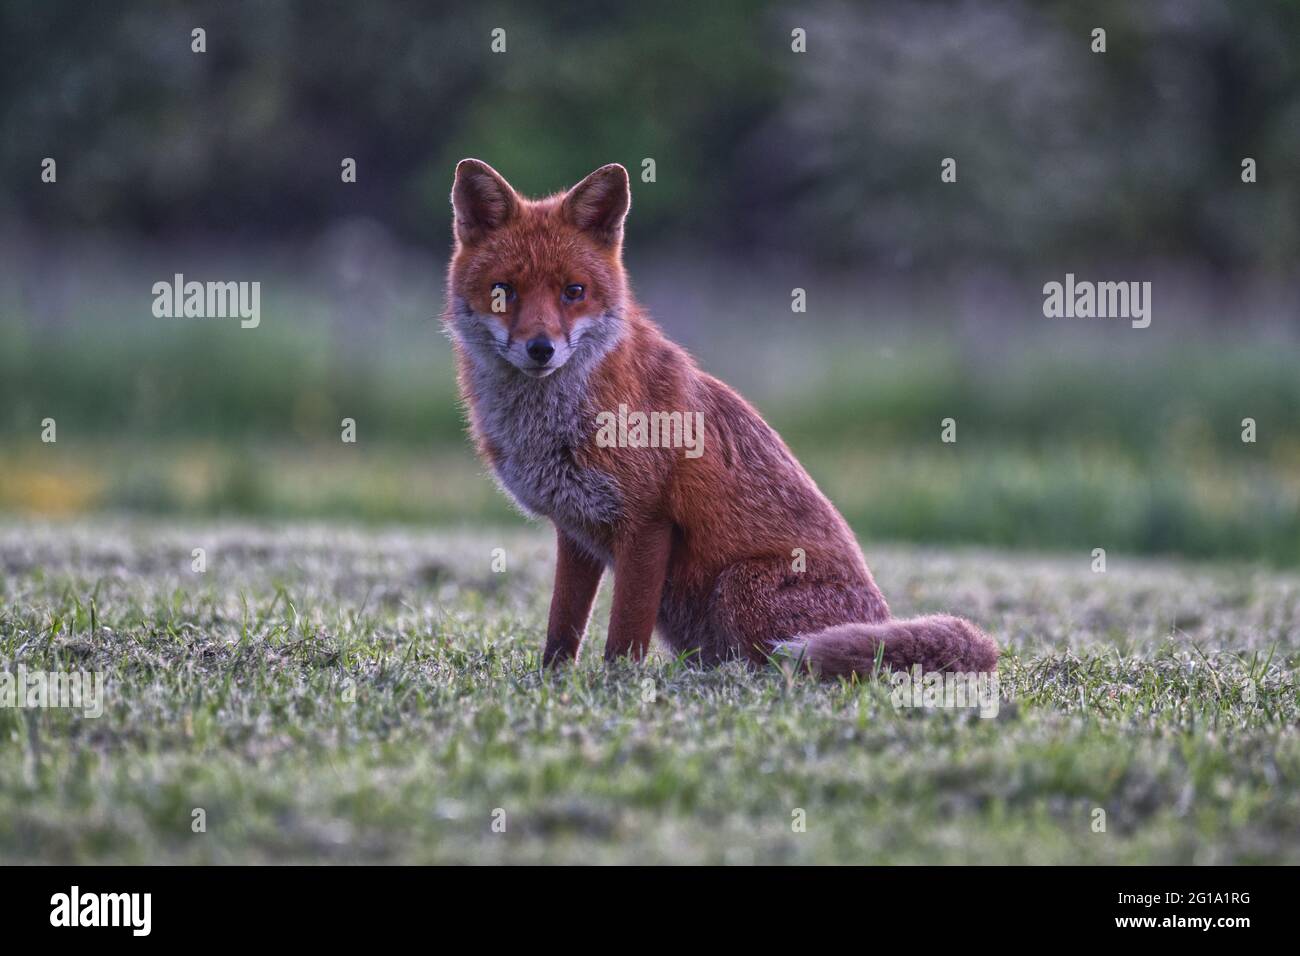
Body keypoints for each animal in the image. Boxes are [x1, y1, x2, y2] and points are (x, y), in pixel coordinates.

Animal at [443, 159, 999, 678]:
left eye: (573, 292)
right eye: (504, 291)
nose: (541, 349)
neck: (554, 423)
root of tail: (881, 615)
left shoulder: (647, 522)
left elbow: (624, 634)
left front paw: (616, 685)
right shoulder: (576, 530)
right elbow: (562, 626)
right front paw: (554, 681)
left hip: (738, 587)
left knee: (780, 664)